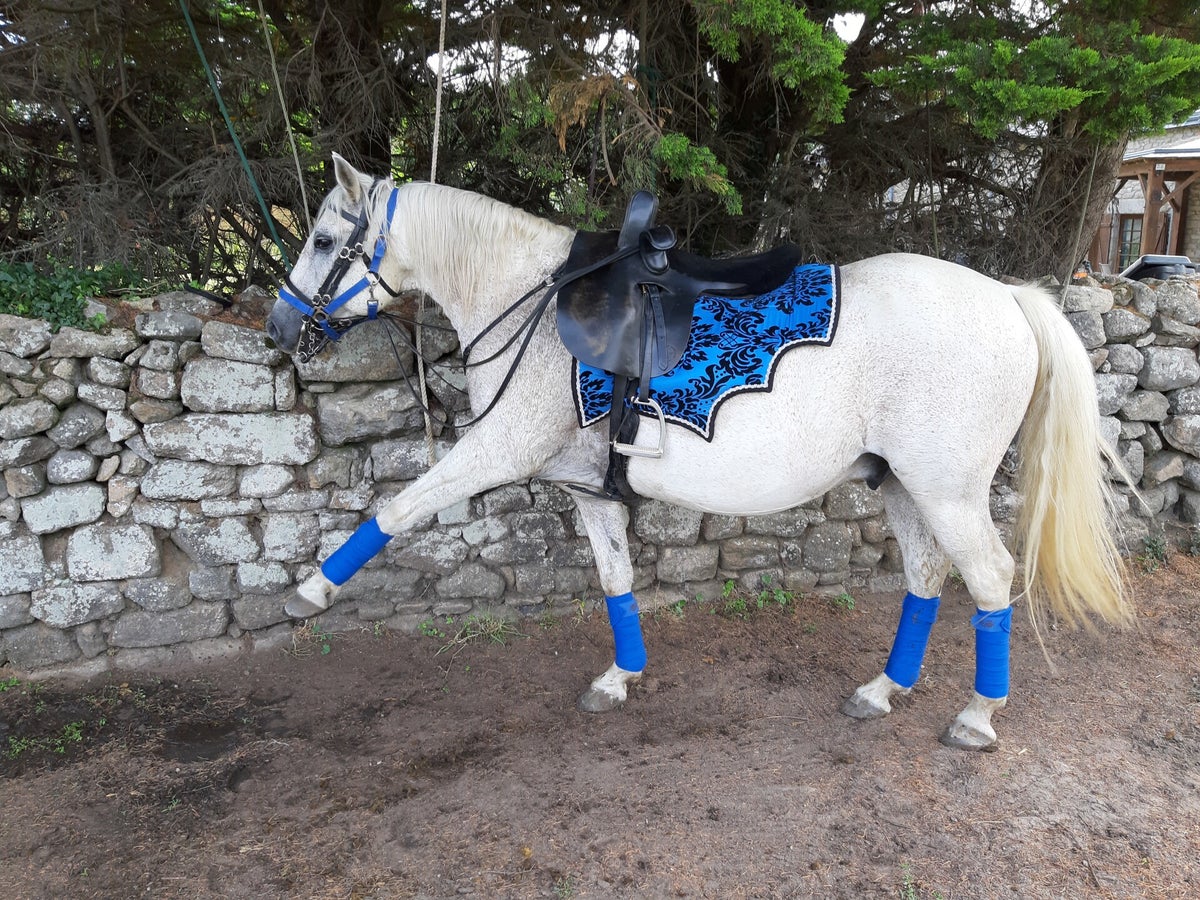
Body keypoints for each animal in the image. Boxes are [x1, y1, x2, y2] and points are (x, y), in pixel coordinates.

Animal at [266, 154, 1131, 751]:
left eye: (323, 238)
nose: (278, 328)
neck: (532, 298)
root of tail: (1009, 296)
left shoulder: (498, 451)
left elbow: (397, 508)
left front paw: (309, 593)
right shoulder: (588, 489)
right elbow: (615, 580)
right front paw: (621, 677)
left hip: (946, 488)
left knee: (987, 579)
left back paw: (977, 717)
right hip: (900, 485)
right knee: (925, 576)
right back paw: (883, 690)